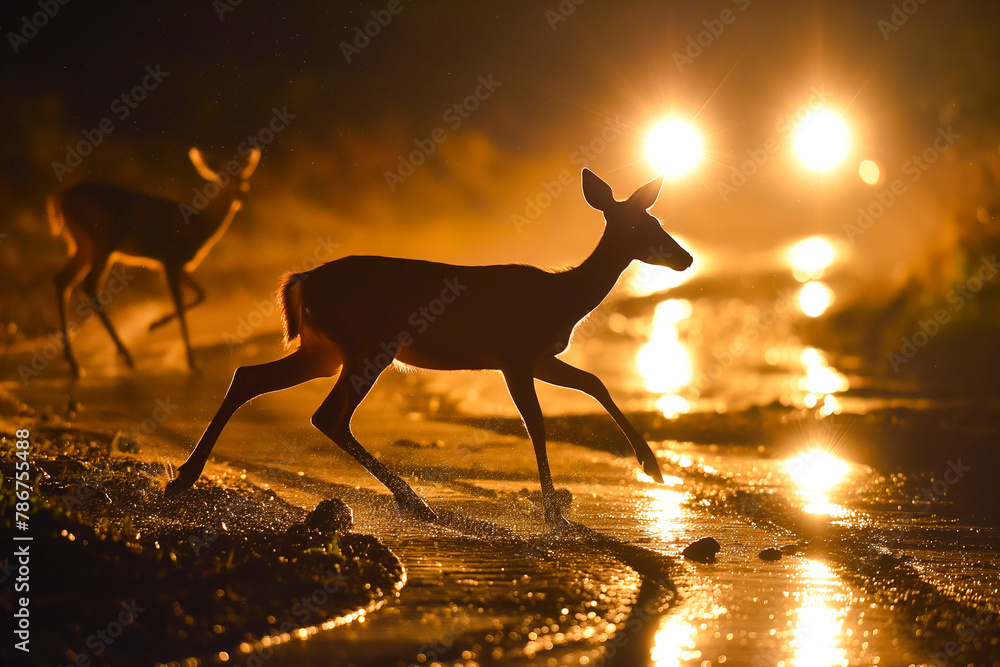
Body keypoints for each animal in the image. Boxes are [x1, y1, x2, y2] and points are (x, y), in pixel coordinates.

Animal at [48, 147, 261, 376]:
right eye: (222, 176)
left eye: (244, 175)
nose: (244, 194)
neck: (198, 227)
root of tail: (61, 196)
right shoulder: (170, 259)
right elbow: (180, 301)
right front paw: (190, 359)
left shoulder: (177, 264)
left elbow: (201, 294)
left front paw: (155, 325)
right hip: (103, 240)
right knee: (88, 284)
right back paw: (125, 355)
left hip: (82, 243)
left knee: (62, 280)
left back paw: (75, 362)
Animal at [164, 168, 693, 527]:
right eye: (640, 227)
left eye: (658, 219)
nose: (685, 257)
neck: (562, 299)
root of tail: (301, 280)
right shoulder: (514, 354)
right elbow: (537, 423)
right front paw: (555, 516)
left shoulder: (541, 356)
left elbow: (594, 382)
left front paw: (652, 466)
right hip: (366, 346)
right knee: (327, 414)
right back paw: (413, 501)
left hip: (323, 350)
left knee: (249, 377)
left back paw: (183, 478)